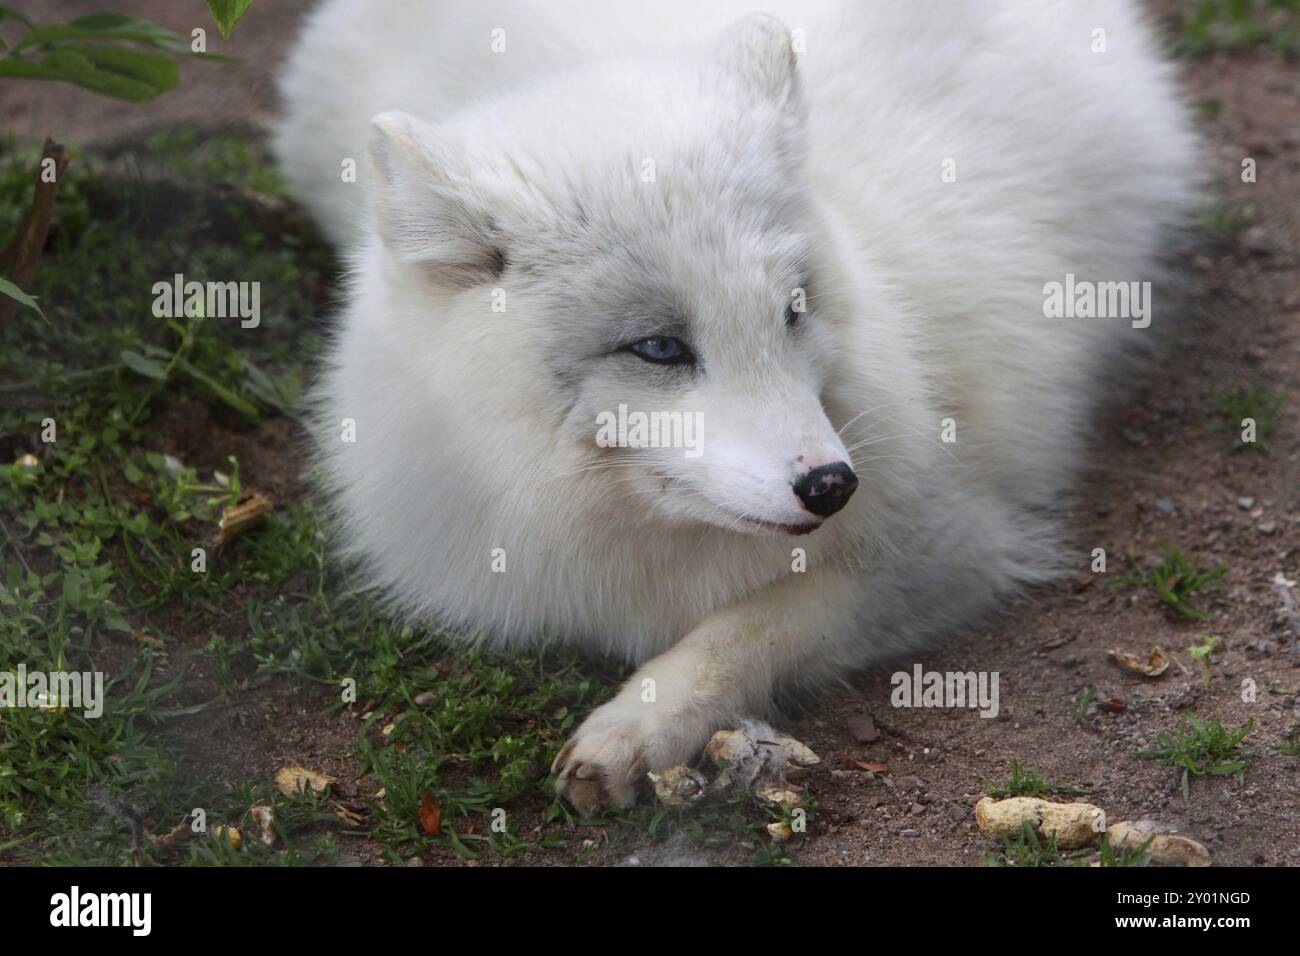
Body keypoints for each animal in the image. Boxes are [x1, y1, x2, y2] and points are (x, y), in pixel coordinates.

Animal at [274, 0, 1198, 814]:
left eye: (792, 309)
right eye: (658, 348)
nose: (832, 485)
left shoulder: (948, 548)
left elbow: (743, 632)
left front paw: (636, 726)